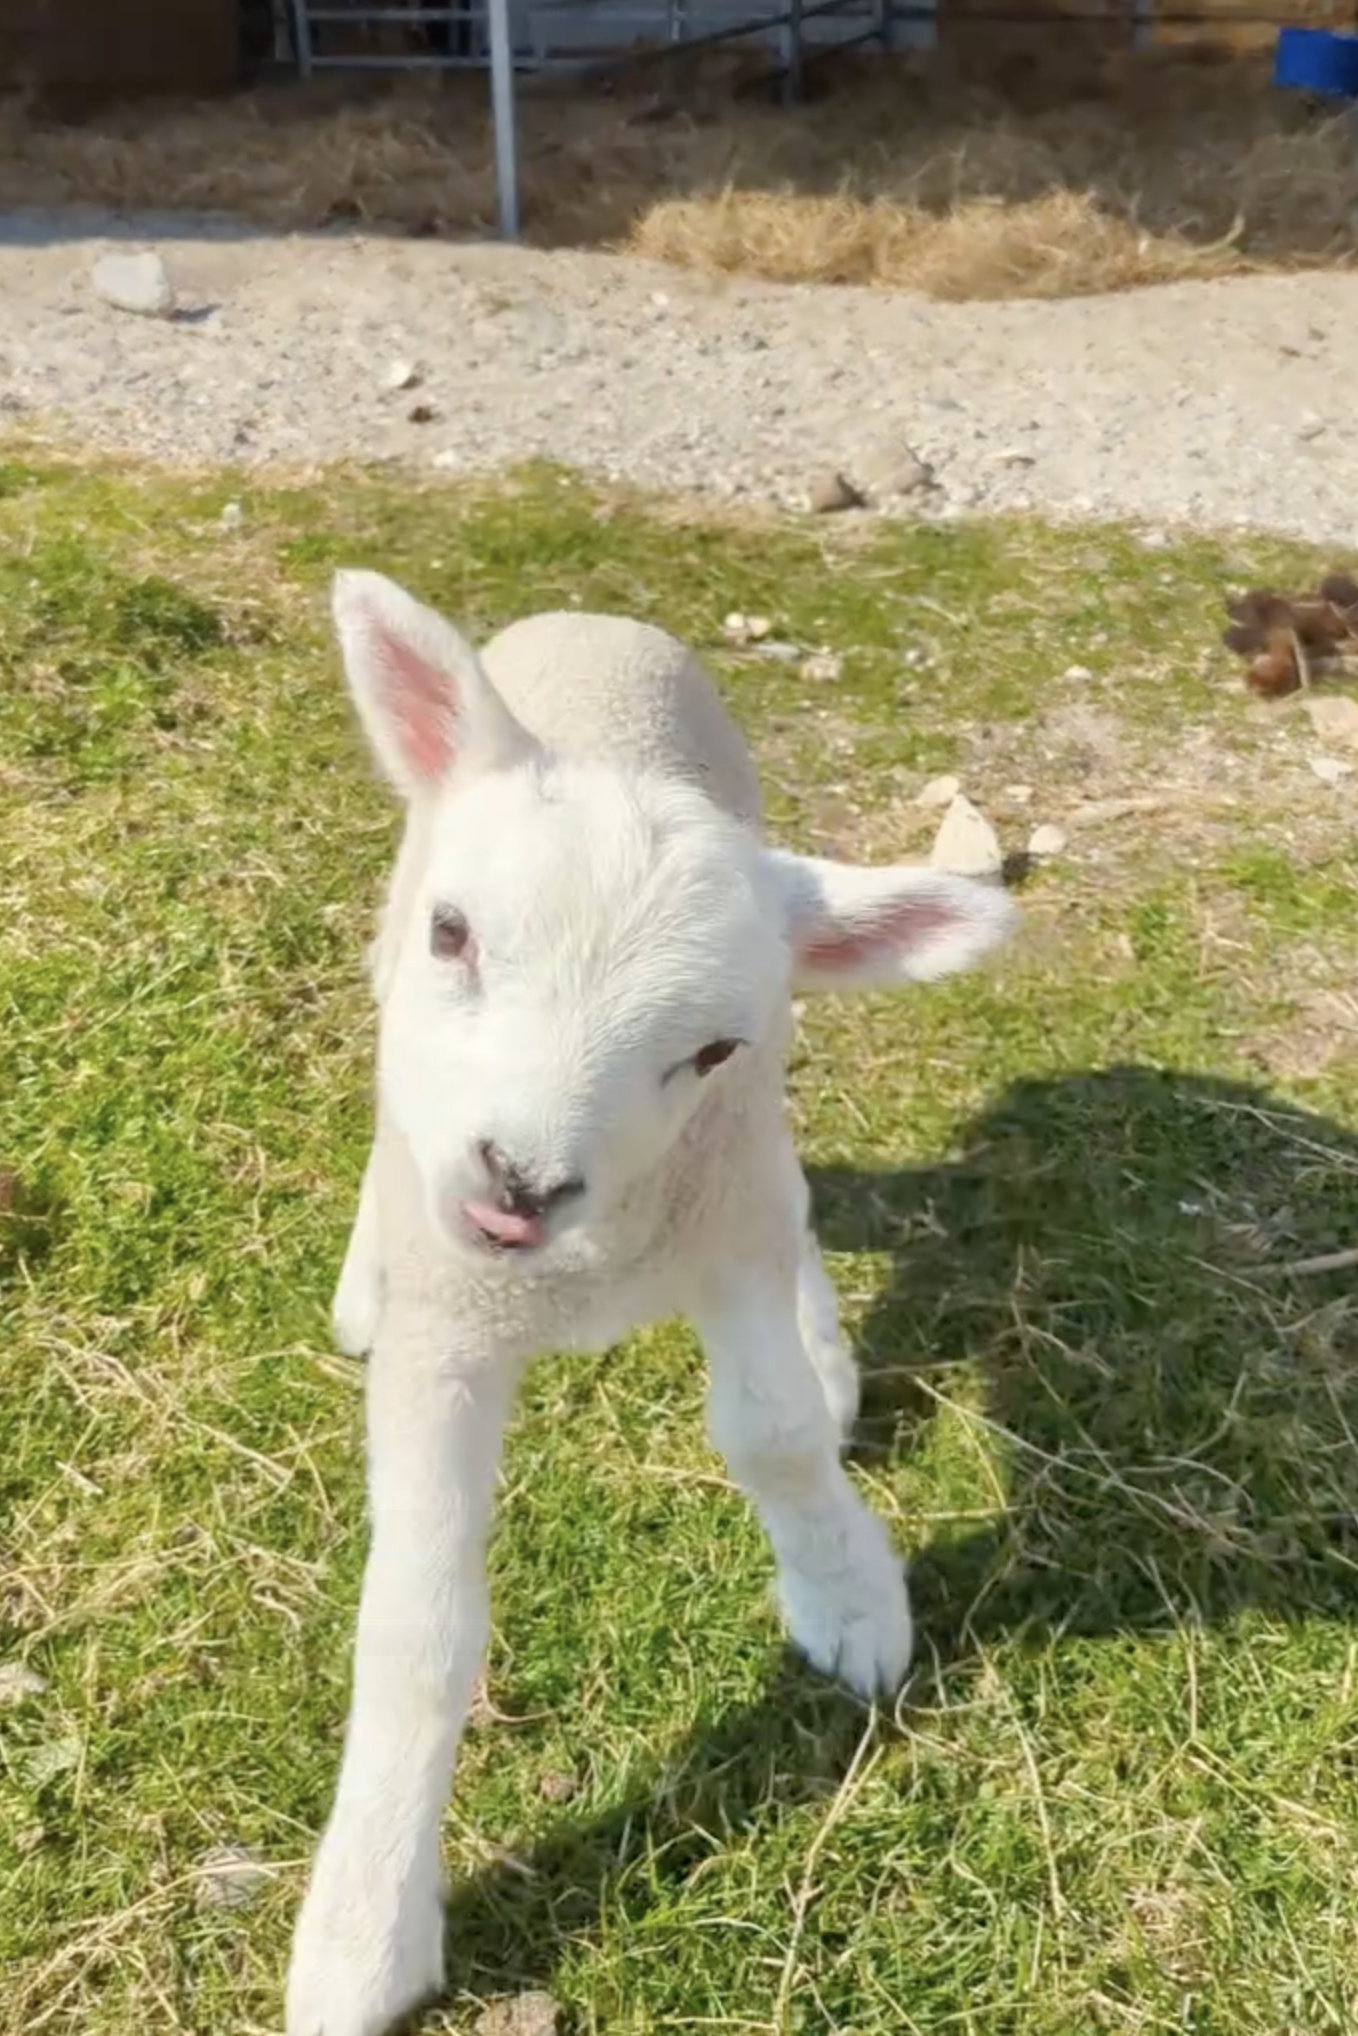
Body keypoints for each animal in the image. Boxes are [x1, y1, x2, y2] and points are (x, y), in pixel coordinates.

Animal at [286, 574, 1018, 2036]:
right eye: (457, 933)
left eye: (706, 1044)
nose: (518, 1182)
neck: (572, 1270)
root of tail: (591, 622)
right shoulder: (448, 1323)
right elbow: (417, 1620)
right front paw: (364, 1929)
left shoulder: (723, 1192)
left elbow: (774, 1436)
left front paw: (847, 1597)